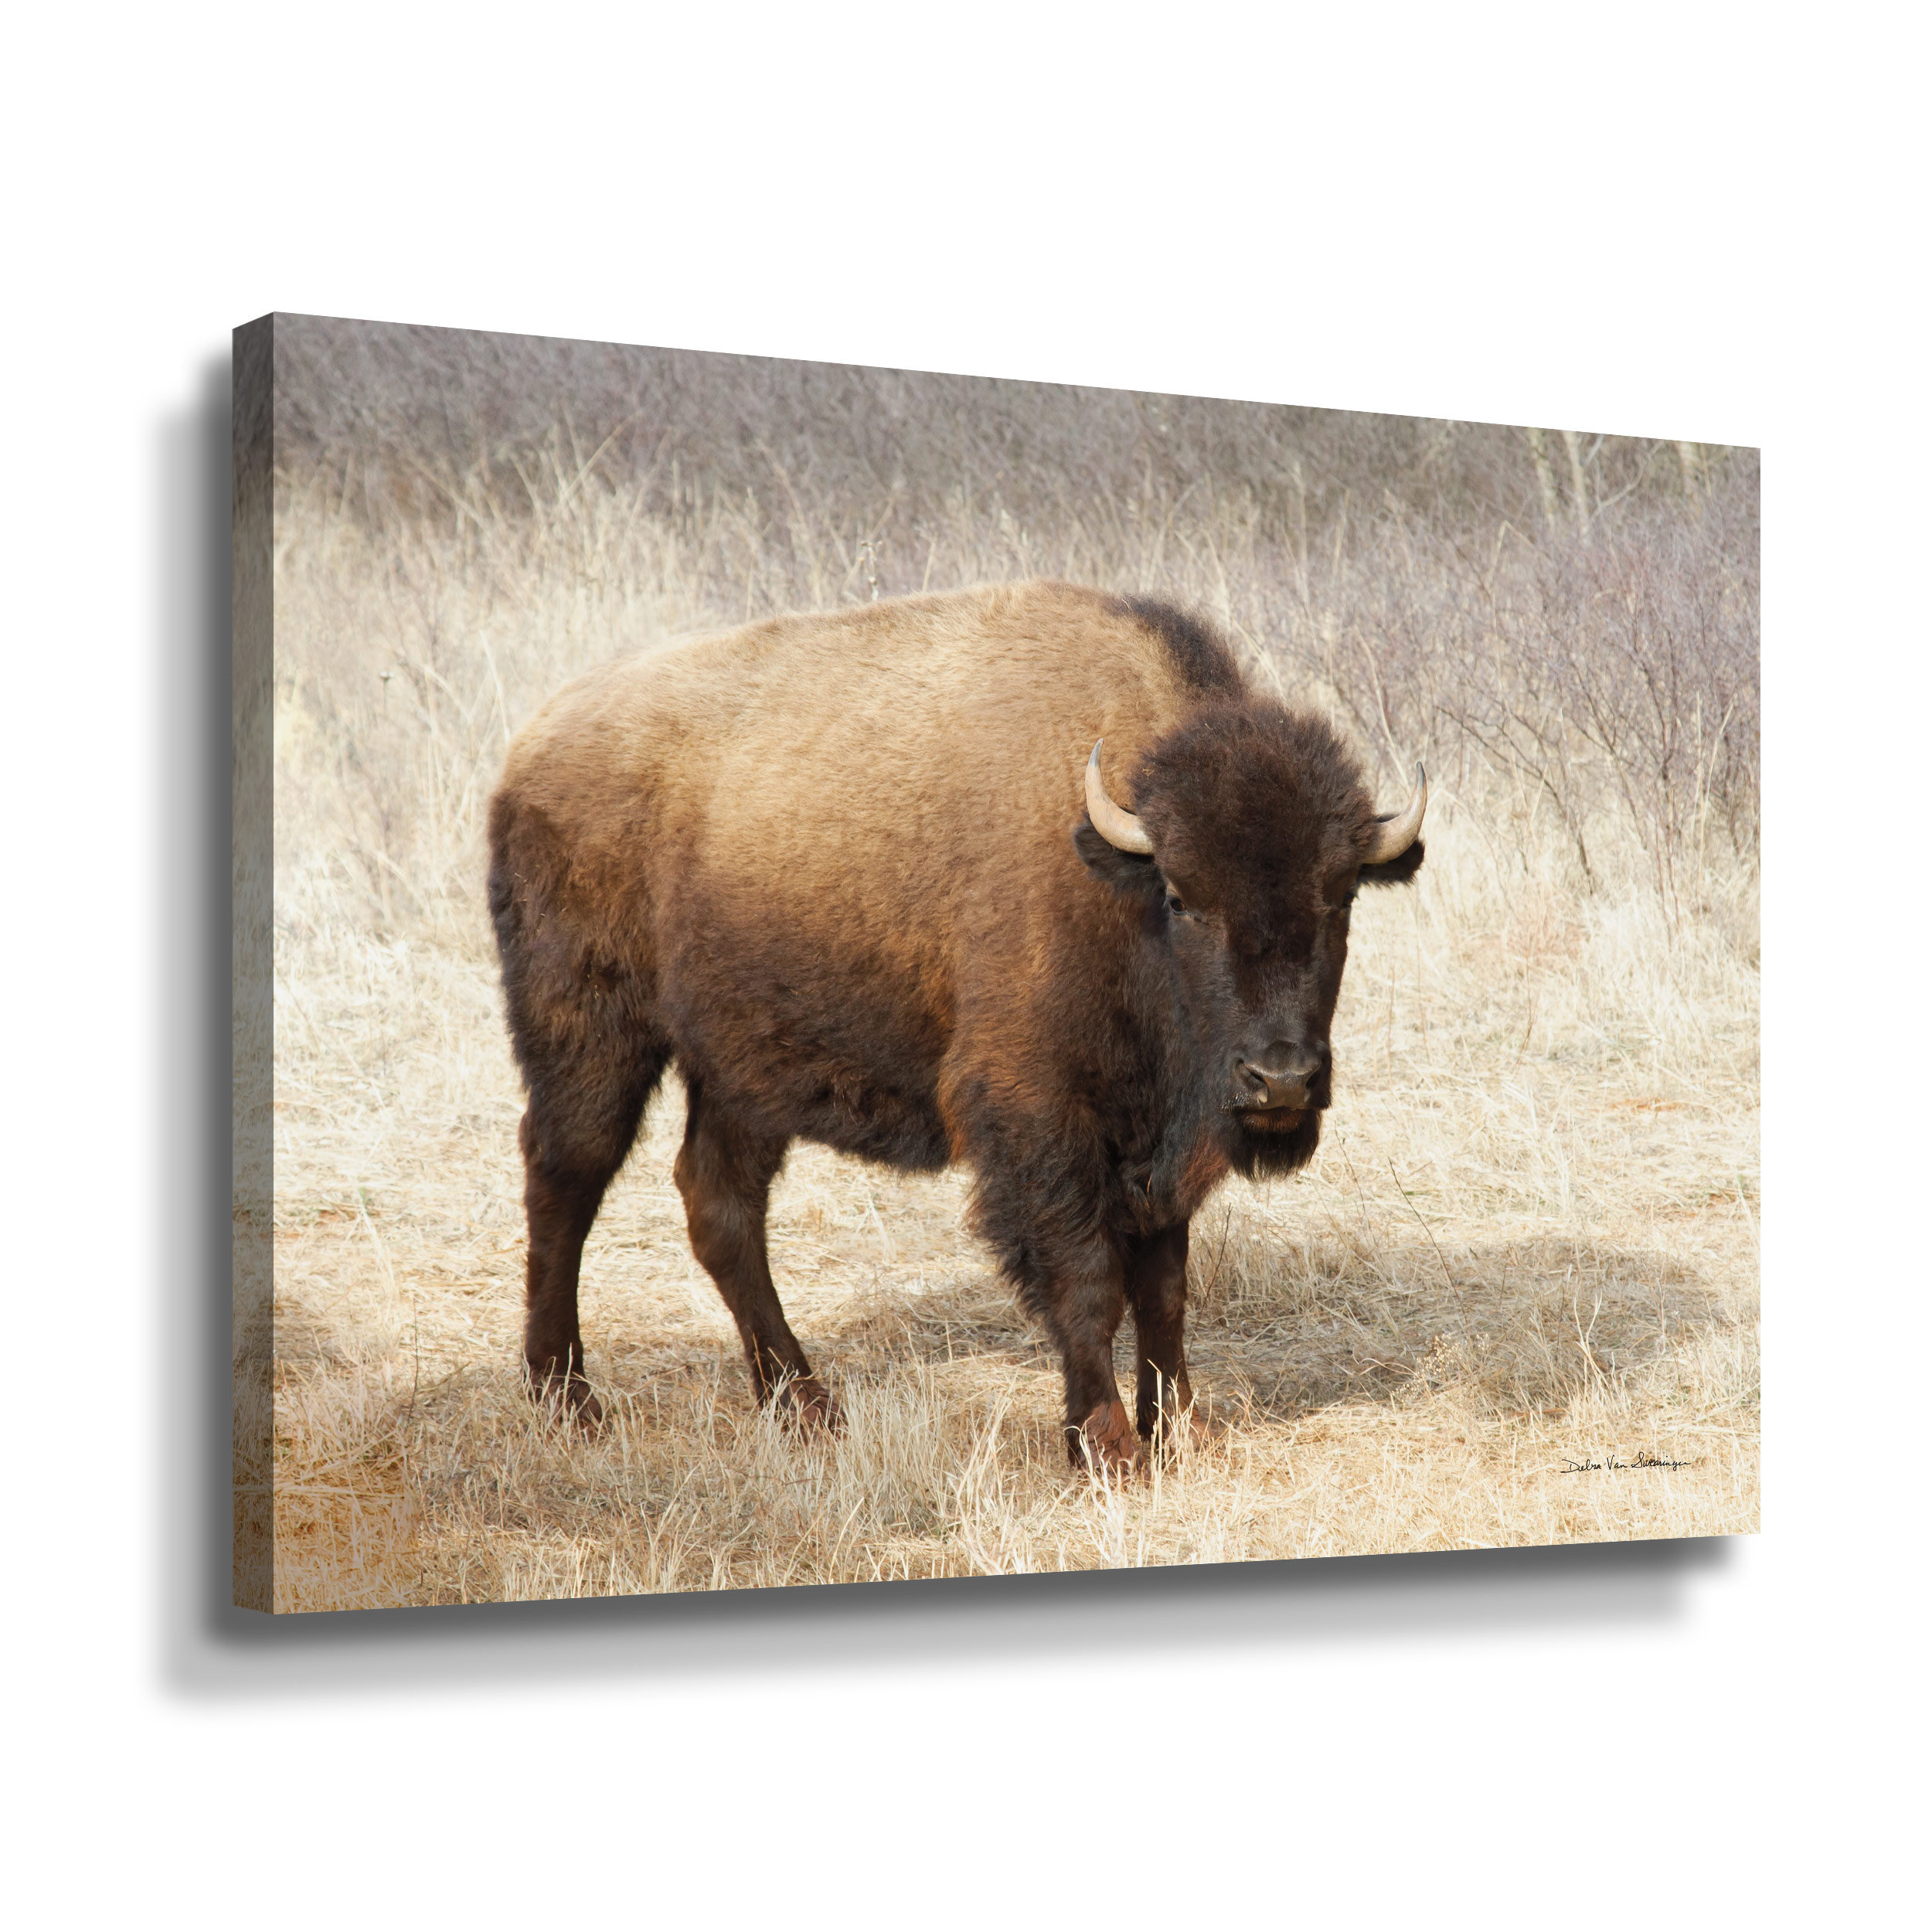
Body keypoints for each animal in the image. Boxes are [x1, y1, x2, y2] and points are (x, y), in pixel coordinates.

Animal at [487, 582, 1425, 1470]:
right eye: (1181, 896)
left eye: (1341, 895)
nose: (1281, 1078)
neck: (1109, 875)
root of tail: (531, 748)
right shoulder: (1037, 1116)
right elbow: (1087, 1280)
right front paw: (1109, 1450)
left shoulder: (1155, 1140)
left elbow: (1163, 1286)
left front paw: (1179, 1432)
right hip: (589, 1031)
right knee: (564, 1177)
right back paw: (567, 1399)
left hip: (741, 1068)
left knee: (720, 1204)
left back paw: (805, 1408)